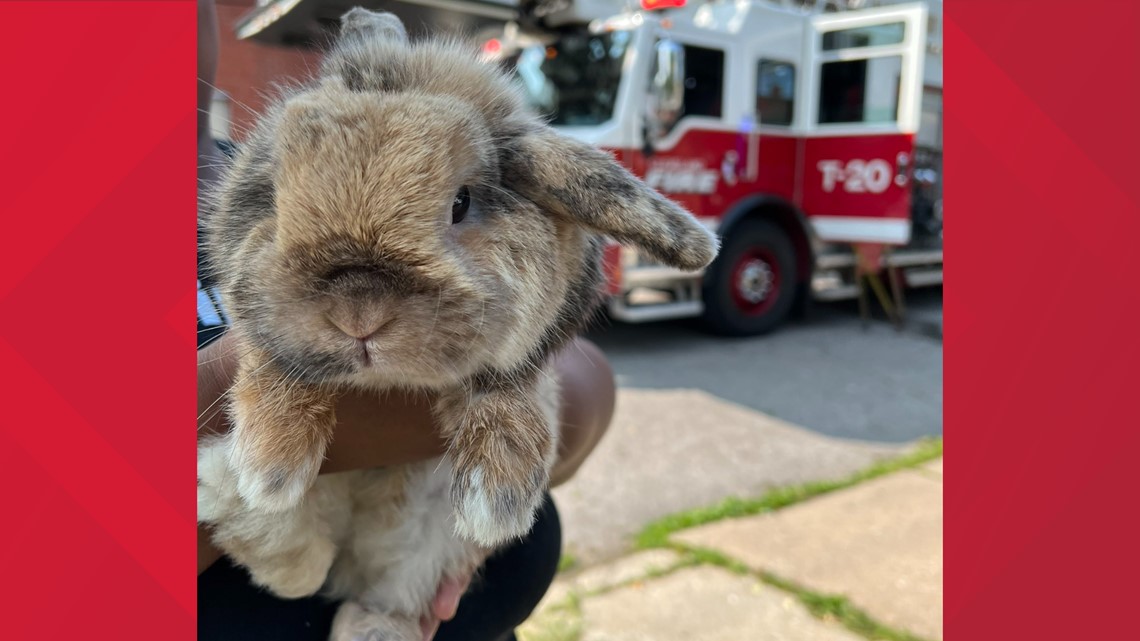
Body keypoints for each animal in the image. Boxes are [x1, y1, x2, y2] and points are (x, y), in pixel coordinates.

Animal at [197, 7, 718, 640]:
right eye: (275, 197)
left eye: (462, 203)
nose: (357, 315)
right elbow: (274, 358)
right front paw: (270, 462)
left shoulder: (529, 356)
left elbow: (510, 386)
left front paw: (499, 494)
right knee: (301, 566)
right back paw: (231, 486)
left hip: (427, 548)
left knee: (360, 587)